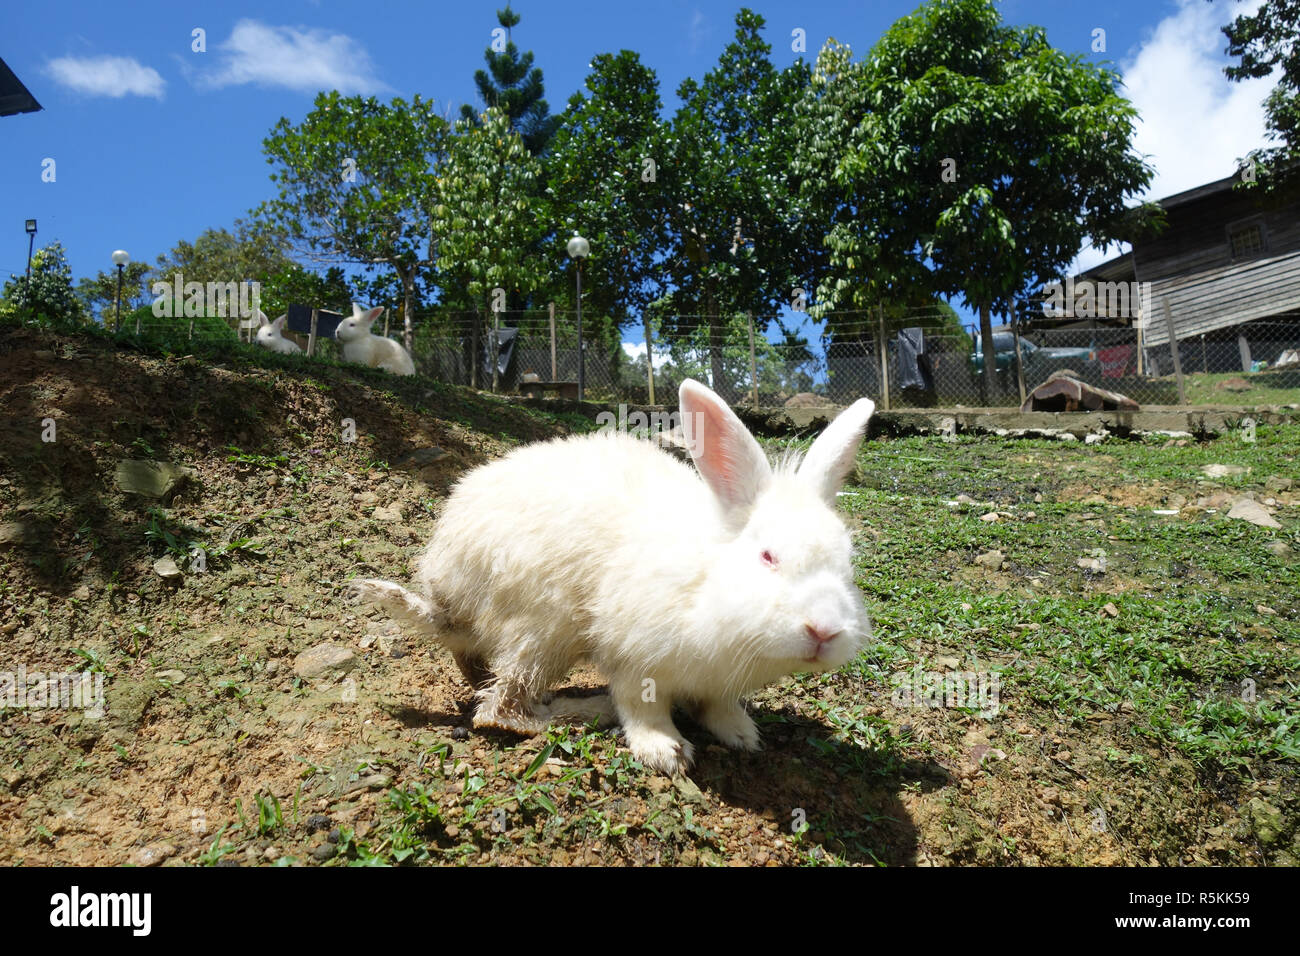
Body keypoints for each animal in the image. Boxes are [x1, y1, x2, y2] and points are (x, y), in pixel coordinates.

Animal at [349, 379, 876, 775]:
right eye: (768, 556)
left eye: (847, 563)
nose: (825, 630)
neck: (708, 584)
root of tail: (445, 595)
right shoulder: (636, 658)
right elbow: (641, 707)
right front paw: (664, 751)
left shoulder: (720, 684)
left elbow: (718, 707)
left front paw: (743, 735)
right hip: (544, 629)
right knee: (502, 711)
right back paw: (581, 712)